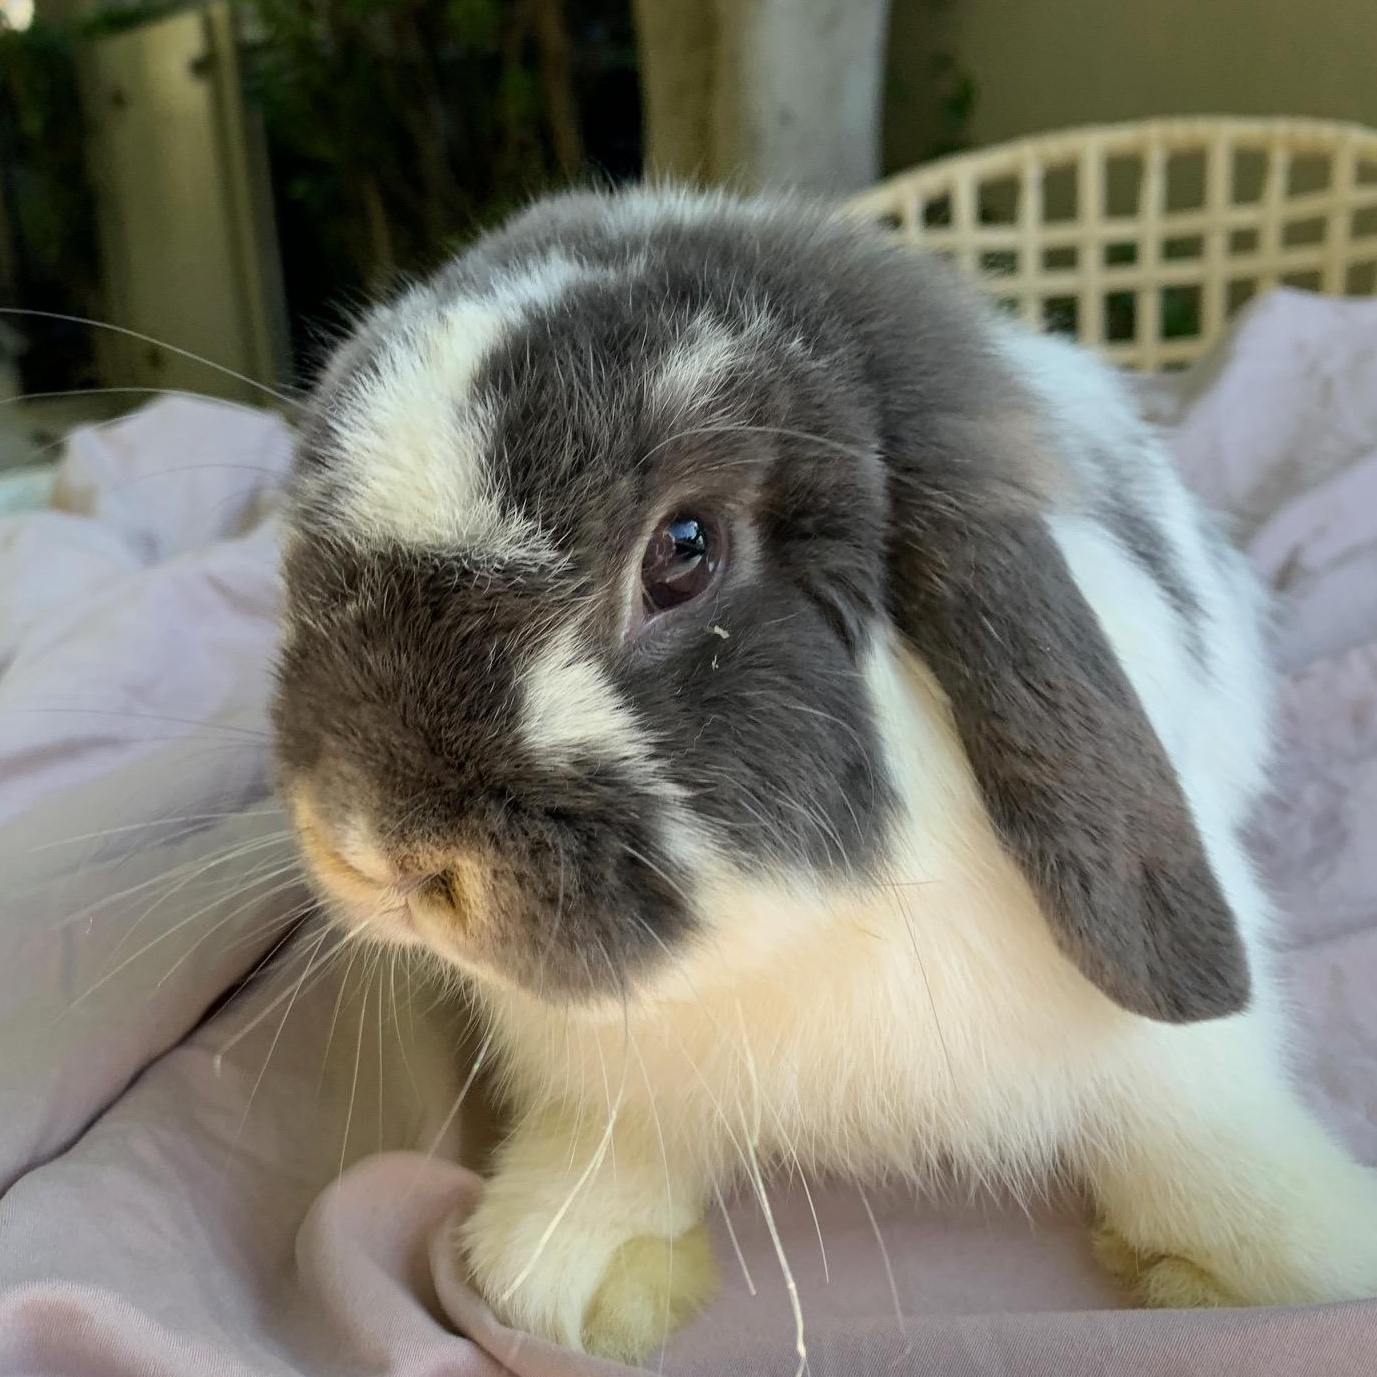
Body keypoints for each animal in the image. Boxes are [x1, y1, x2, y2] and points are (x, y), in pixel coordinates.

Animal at [272, 186, 1377, 1365]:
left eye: (685, 548)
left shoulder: (1171, 1062)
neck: (802, 930)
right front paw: (571, 1262)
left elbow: (1199, 1126)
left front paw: (1290, 1259)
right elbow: (615, 1149)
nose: (378, 848)